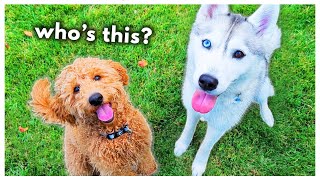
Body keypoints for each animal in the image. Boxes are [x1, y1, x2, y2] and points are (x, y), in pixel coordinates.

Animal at [30, 58, 158, 176]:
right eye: (76, 89)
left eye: (97, 77)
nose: (95, 98)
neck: (115, 133)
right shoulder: (115, 170)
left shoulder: (143, 152)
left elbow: (147, 166)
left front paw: (153, 171)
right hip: (78, 165)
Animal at [174, 4, 282, 176]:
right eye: (206, 43)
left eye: (238, 53)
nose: (207, 81)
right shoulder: (192, 111)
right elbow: (188, 129)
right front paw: (182, 145)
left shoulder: (220, 126)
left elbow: (206, 146)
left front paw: (199, 164)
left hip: (262, 85)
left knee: (263, 99)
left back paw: (267, 115)